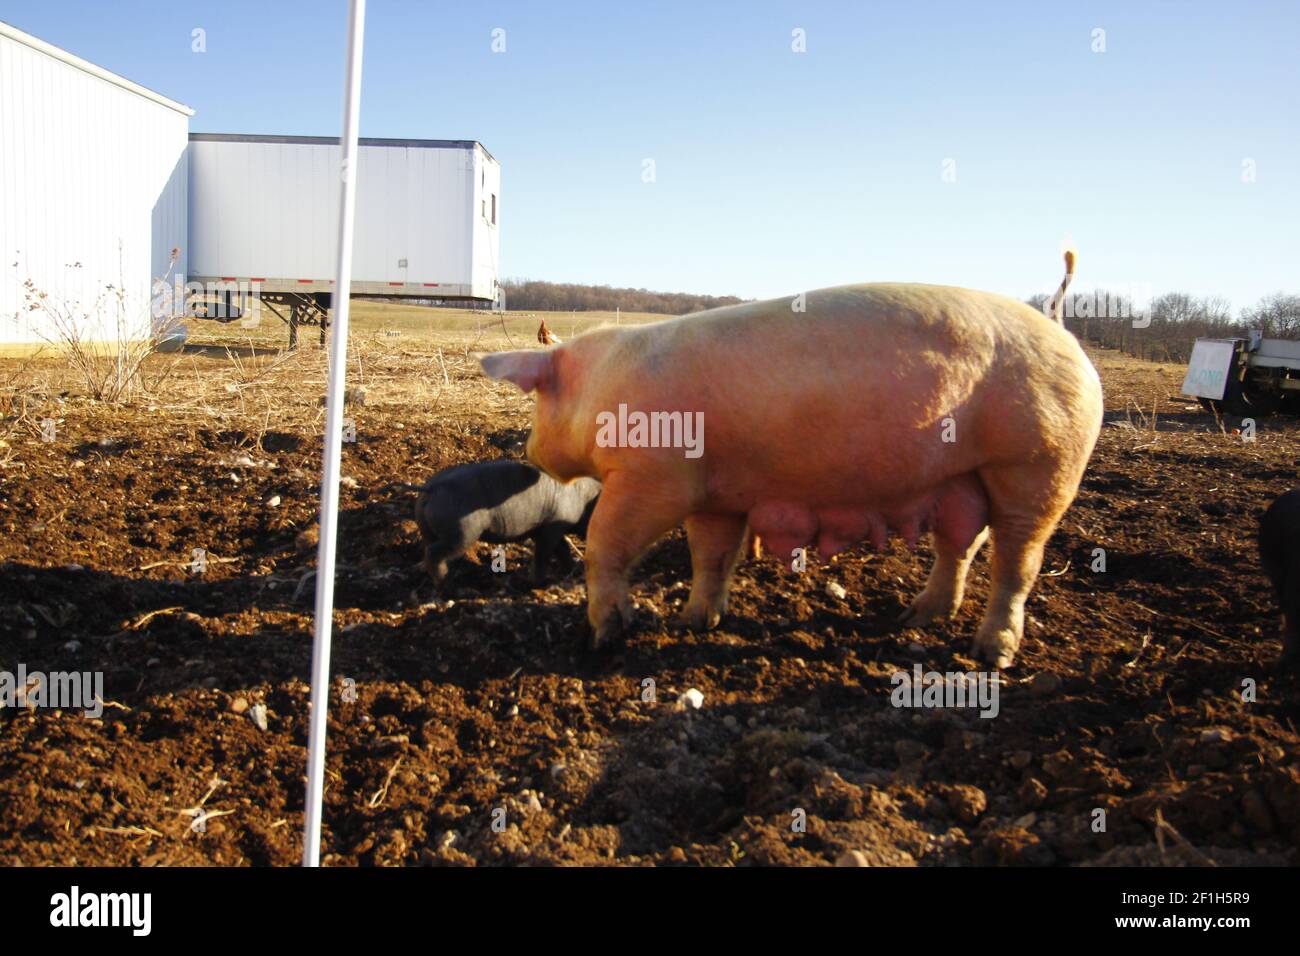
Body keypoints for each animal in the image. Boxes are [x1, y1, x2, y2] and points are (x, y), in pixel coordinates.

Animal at [414, 459, 601, 587]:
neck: (585, 499)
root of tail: (433, 487)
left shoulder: (543, 529)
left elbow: (562, 549)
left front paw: (571, 569)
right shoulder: (552, 527)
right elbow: (544, 553)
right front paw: (538, 583)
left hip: (426, 526)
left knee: (427, 546)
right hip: (462, 532)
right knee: (434, 552)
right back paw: (445, 584)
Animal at [479, 273, 1103, 668]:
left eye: (537, 402)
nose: (531, 451)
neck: (599, 387)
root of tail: (1071, 343)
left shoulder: (653, 481)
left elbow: (607, 544)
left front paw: (606, 634)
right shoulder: (717, 495)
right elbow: (711, 556)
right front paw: (693, 623)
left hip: (1038, 466)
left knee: (1017, 563)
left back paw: (990, 654)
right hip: (964, 480)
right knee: (961, 546)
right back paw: (914, 619)